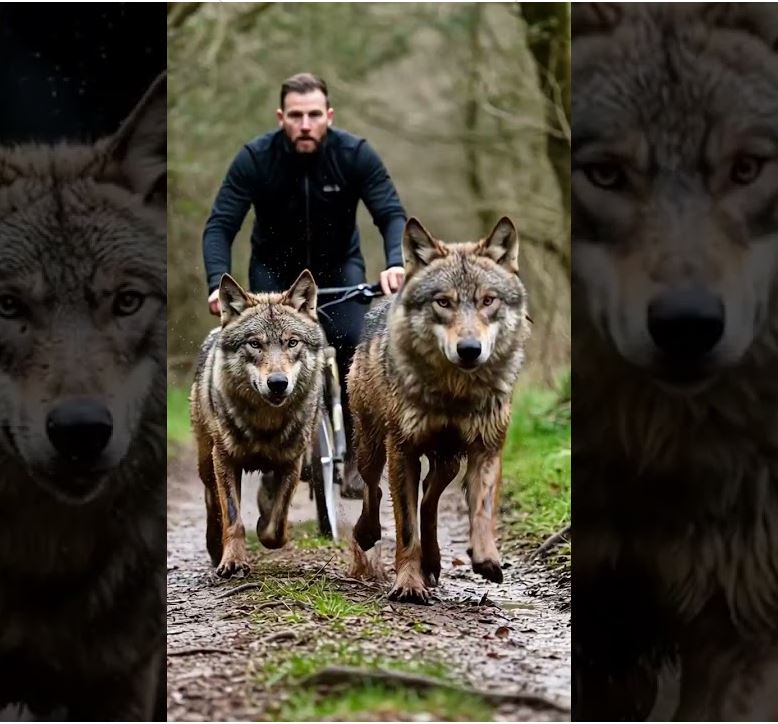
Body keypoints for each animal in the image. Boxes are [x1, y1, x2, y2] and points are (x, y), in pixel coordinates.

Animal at [190, 271, 325, 577]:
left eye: (292, 343)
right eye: (255, 344)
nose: (277, 383)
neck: (265, 423)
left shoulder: (292, 462)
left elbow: (275, 526)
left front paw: (266, 525)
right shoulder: (225, 460)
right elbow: (232, 517)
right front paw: (232, 561)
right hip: (207, 462)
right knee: (211, 501)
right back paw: (215, 546)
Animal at [348, 217, 531, 604]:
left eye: (488, 301)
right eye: (443, 302)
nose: (470, 349)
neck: (454, 392)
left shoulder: (487, 448)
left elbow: (481, 509)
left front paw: (487, 558)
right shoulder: (402, 450)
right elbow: (405, 528)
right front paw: (408, 583)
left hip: (448, 461)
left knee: (429, 500)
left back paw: (432, 561)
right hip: (372, 448)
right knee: (374, 490)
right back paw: (369, 533)